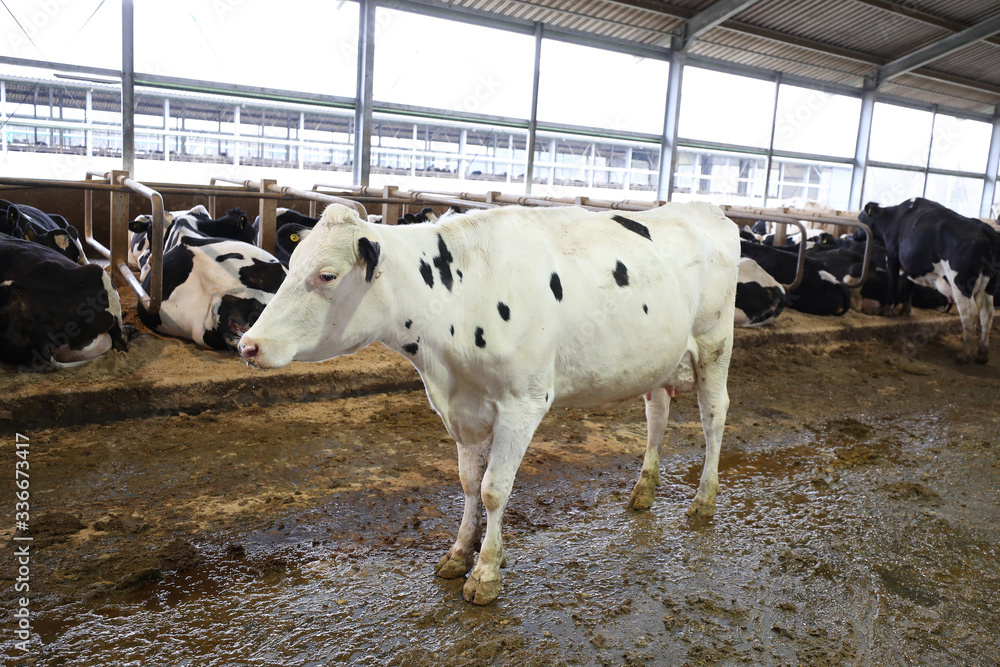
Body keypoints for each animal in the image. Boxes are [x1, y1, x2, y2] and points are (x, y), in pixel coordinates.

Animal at [238, 202, 741, 605]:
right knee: (656, 416)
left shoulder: (523, 403)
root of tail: (707, 209)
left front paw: (485, 572)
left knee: (714, 417)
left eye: (326, 274)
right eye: (290, 263)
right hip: (660, 361)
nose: (248, 345)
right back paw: (644, 490)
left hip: (714, 345)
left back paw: (704, 500)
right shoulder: (463, 407)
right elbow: (466, 483)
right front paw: (459, 553)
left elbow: (493, 489)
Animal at [860, 198, 999, 363]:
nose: (855, 234)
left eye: (860, 218)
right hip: (990, 286)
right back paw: (982, 353)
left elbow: (893, 284)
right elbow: (910, 286)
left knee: (970, 313)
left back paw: (965, 354)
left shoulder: (893, 257)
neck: (895, 217)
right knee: (987, 313)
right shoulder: (913, 265)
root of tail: (985, 228)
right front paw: (905, 310)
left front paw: (888, 310)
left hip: (961, 283)